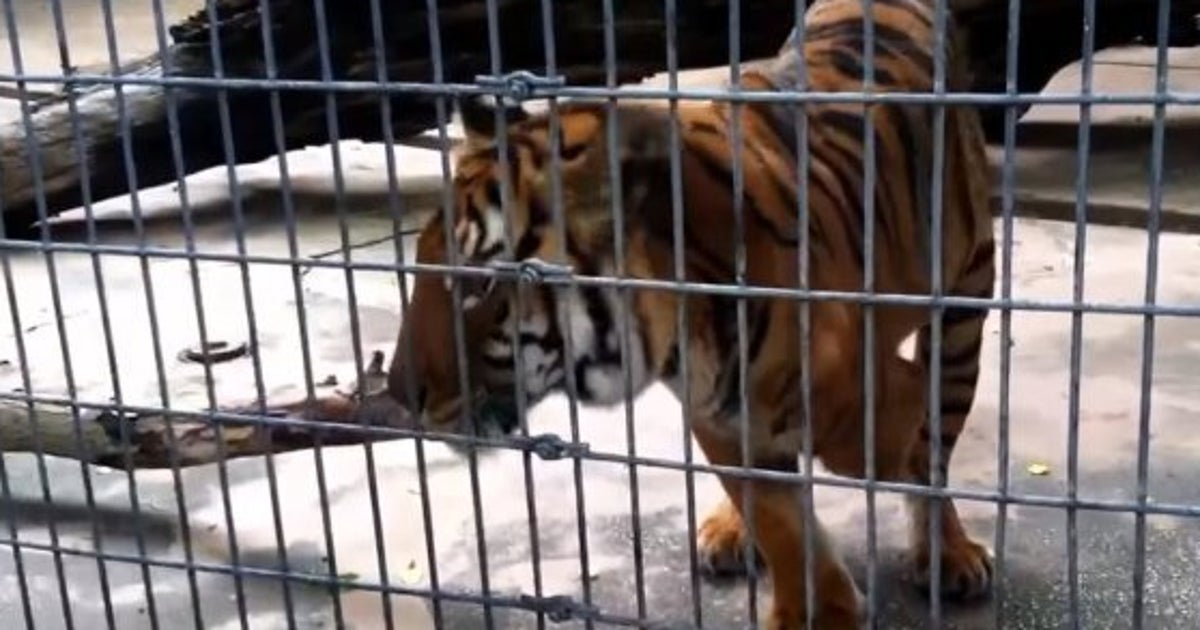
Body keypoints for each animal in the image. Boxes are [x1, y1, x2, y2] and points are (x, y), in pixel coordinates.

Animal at [379, 0, 996, 627]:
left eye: (480, 284)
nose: (401, 395)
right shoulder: (716, 416)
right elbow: (780, 522)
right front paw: (812, 607)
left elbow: (894, 436)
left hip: (967, 294)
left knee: (935, 441)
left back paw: (947, 554)